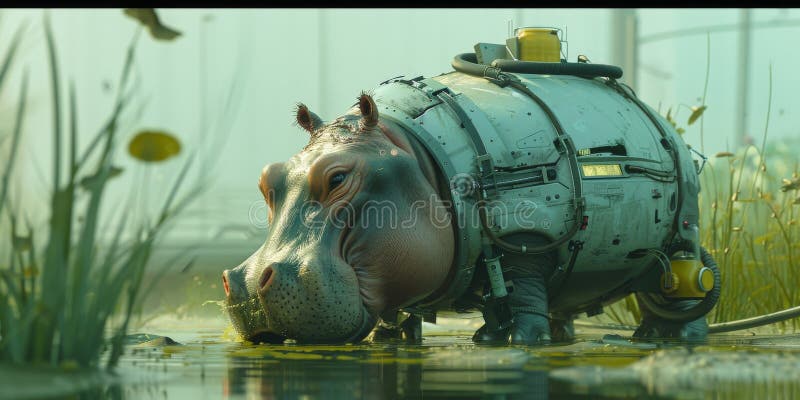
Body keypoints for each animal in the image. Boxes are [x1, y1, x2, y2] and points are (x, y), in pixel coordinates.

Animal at [222, 52, 720, 345]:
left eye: (338, 176)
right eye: (268, 179)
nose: (247, 283)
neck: (416, 153)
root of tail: (666, 129)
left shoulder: (527, 234)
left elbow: (523, 288)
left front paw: (521, 341)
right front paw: (392, 339)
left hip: (683, 236)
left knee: (678, 285)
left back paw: (666, 338)